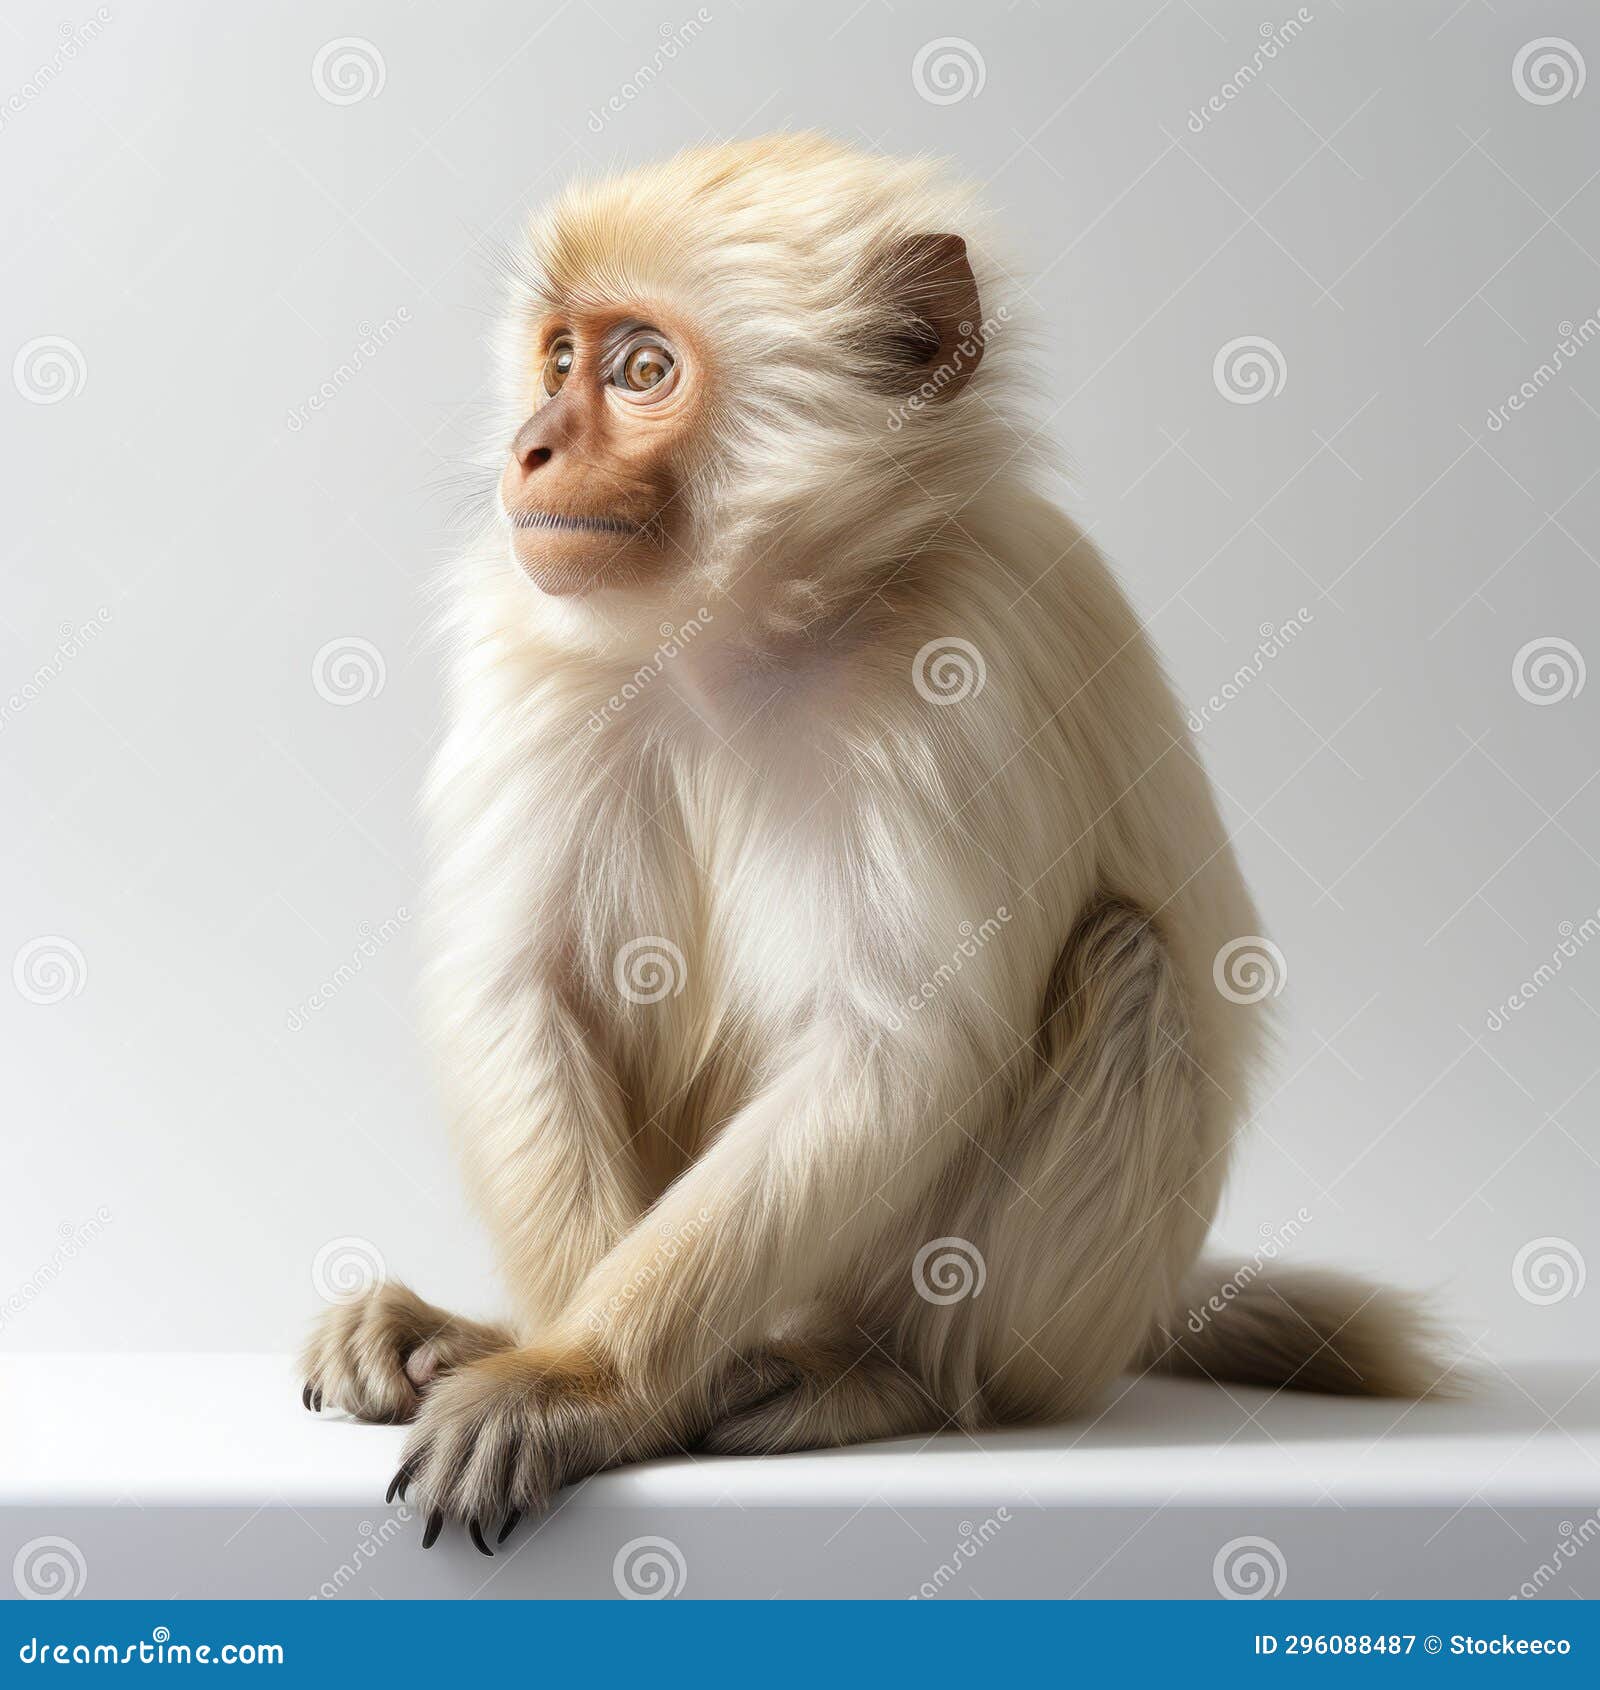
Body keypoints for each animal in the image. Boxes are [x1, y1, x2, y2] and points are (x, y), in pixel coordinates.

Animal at [300, 133, 1439, 1554]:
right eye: (559, 358)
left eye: (642, 370)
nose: (533, 444)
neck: (743, 631)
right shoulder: (536, 654)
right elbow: (523, 988)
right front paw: (541, 1352)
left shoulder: (960, 661)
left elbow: (893, 1047)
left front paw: (576, 1381)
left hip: (1057, 1328)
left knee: (1129, 969)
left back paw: (878, 1376)